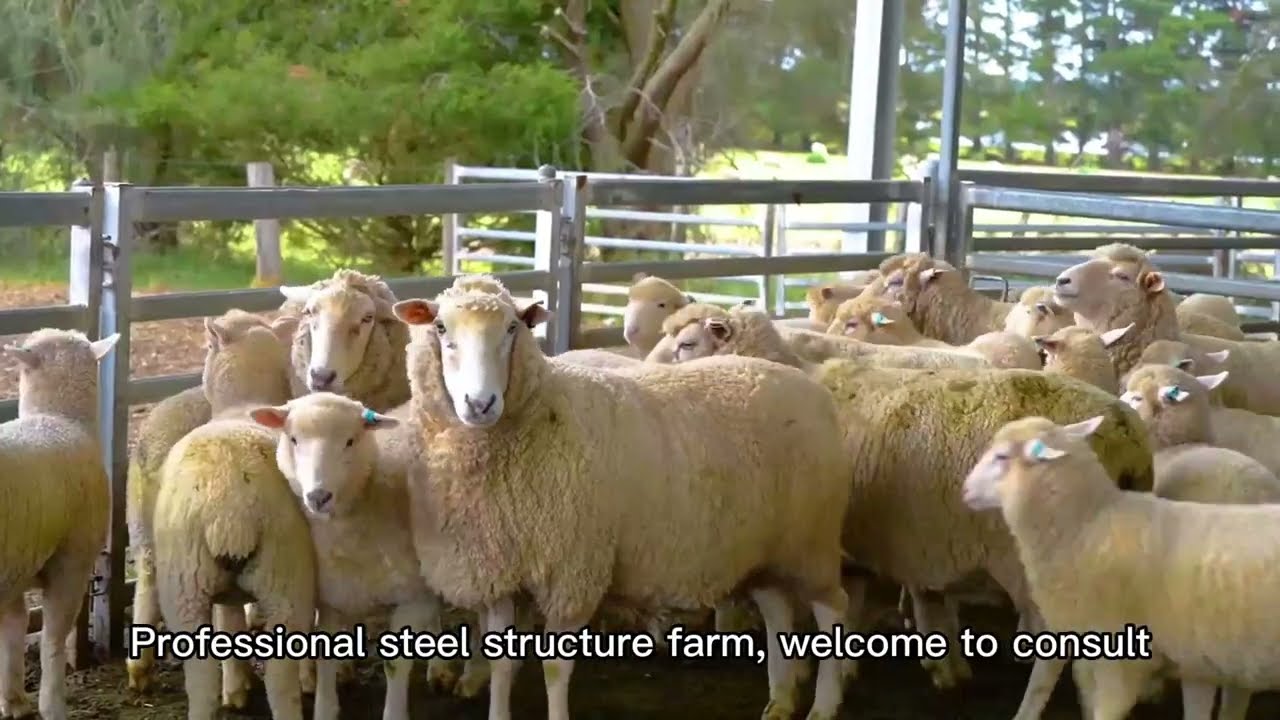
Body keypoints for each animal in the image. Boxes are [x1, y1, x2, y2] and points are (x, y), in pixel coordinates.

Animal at [0, 329, 118, 720]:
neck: (56, 416)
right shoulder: (72, 561)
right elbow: (52, 637)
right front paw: (52, 705)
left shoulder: (18, 562)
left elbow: (15, 626)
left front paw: (13, 701)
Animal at [152, 310, 315, 720]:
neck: (243, 404)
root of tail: (229, 511)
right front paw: (239, 686)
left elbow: (229, 626)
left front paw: (236, 687)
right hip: (281, 578)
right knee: (279, 681)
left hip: (186, 583)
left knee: (203, 681)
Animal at [394, 276, 854, 720]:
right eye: (440, 328)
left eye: (512, 328)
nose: (480, 403)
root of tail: (812, 389)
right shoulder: (500, 569)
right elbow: (501, 664)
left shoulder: (574, 571)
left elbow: (555, 668)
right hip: (766, 546)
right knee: (778, 613)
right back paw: (781, 701)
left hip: (812, 538)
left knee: (833, 610)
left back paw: (823, 705)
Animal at [664, 306, 1155, 709]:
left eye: (687, 344)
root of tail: (1125, 437)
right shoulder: (857, 544)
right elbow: (856, 608)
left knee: (1056, 647)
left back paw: (1029, 708)